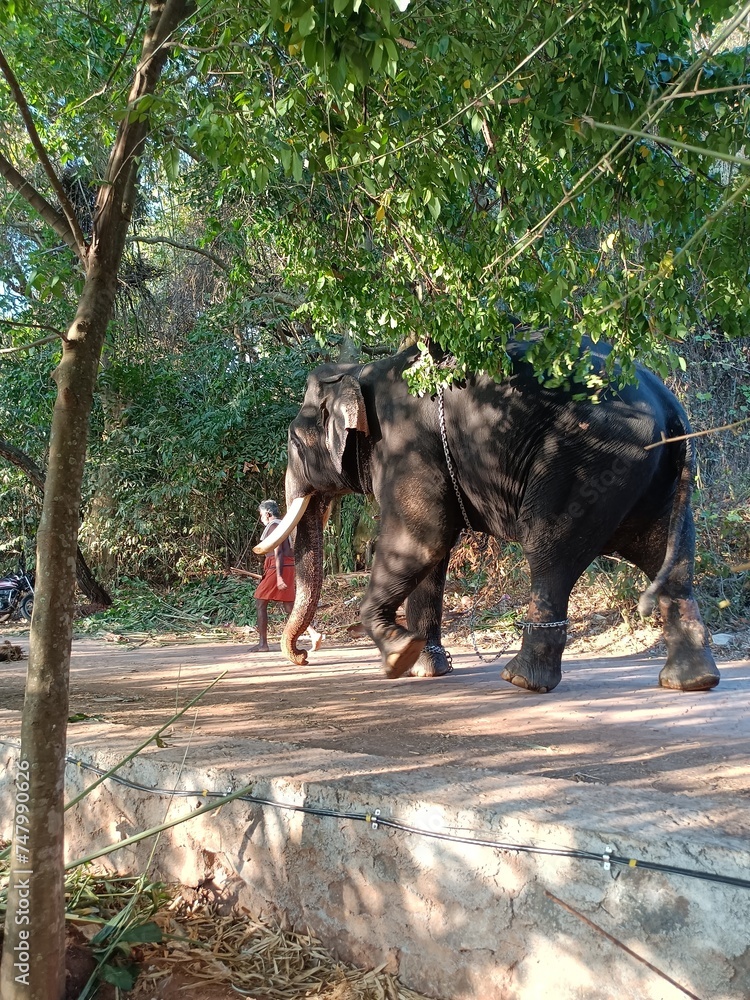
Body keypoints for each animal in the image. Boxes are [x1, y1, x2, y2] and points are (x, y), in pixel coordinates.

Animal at [255, 339, 720, 694]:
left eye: (294, 441)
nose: (303, 656)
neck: (359, 370)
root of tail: (670, 405)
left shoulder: (407, 445)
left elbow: (423, 540)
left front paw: (399, 658)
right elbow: (433, 555)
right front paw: (426, 668)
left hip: (588, 460)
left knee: (549, 552)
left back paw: (521, 680)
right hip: (652, 477)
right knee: (665, 557)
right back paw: (691, 682)